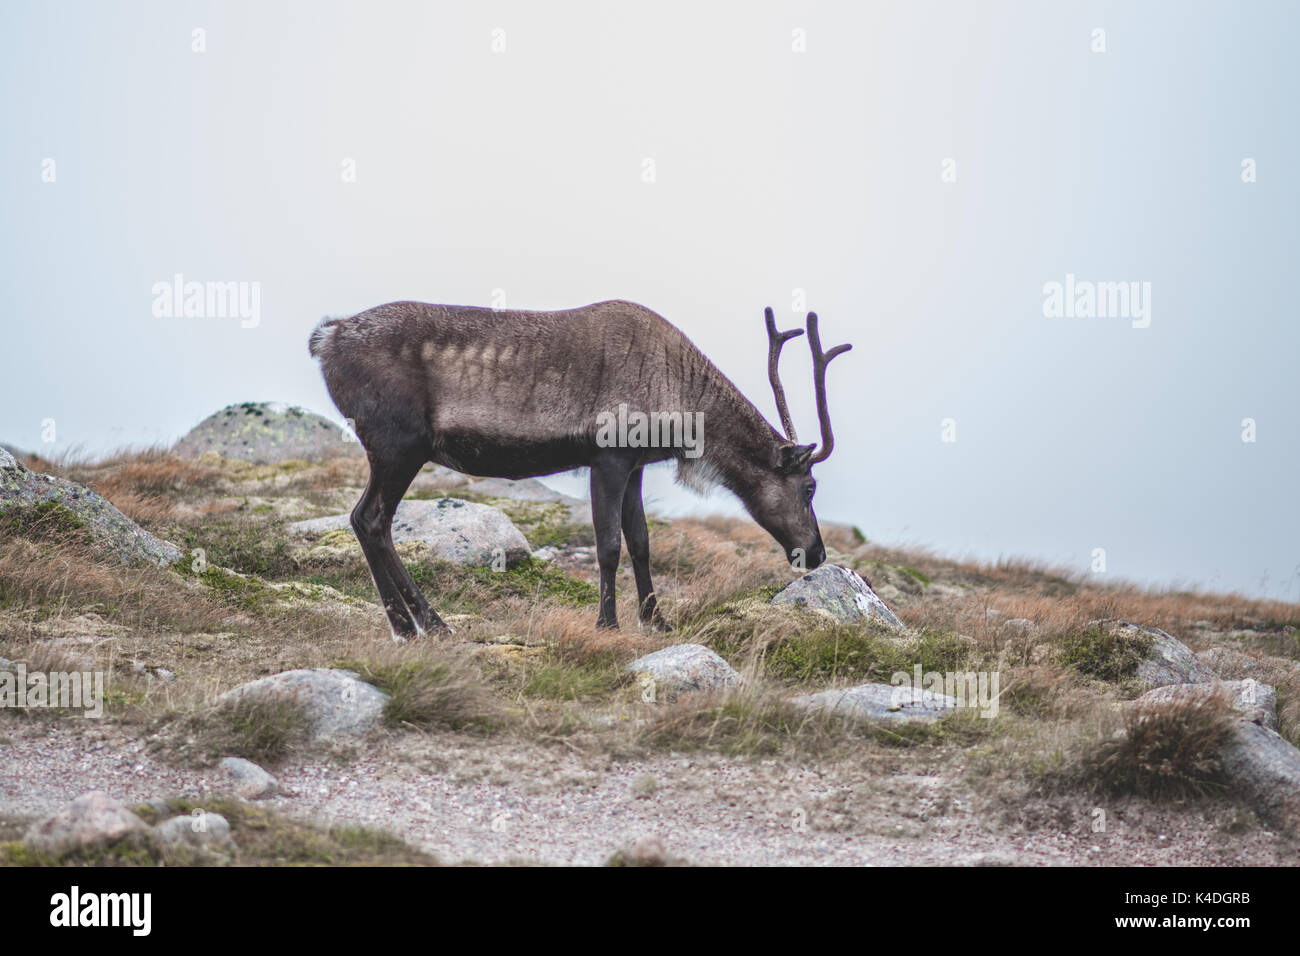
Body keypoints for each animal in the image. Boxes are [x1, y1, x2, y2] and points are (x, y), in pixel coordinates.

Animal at [308, 300, 851, 641]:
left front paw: (657, 621)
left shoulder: (634, 464)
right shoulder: (606, 456)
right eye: (809, 486)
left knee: (369, 520)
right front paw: (608, 623)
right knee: (369, 518)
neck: (679, 405)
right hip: (398, 443)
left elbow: (641, 541)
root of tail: (327, 336)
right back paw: (423, 625)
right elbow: (608, 545)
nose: (817, 553)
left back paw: (414, 625)